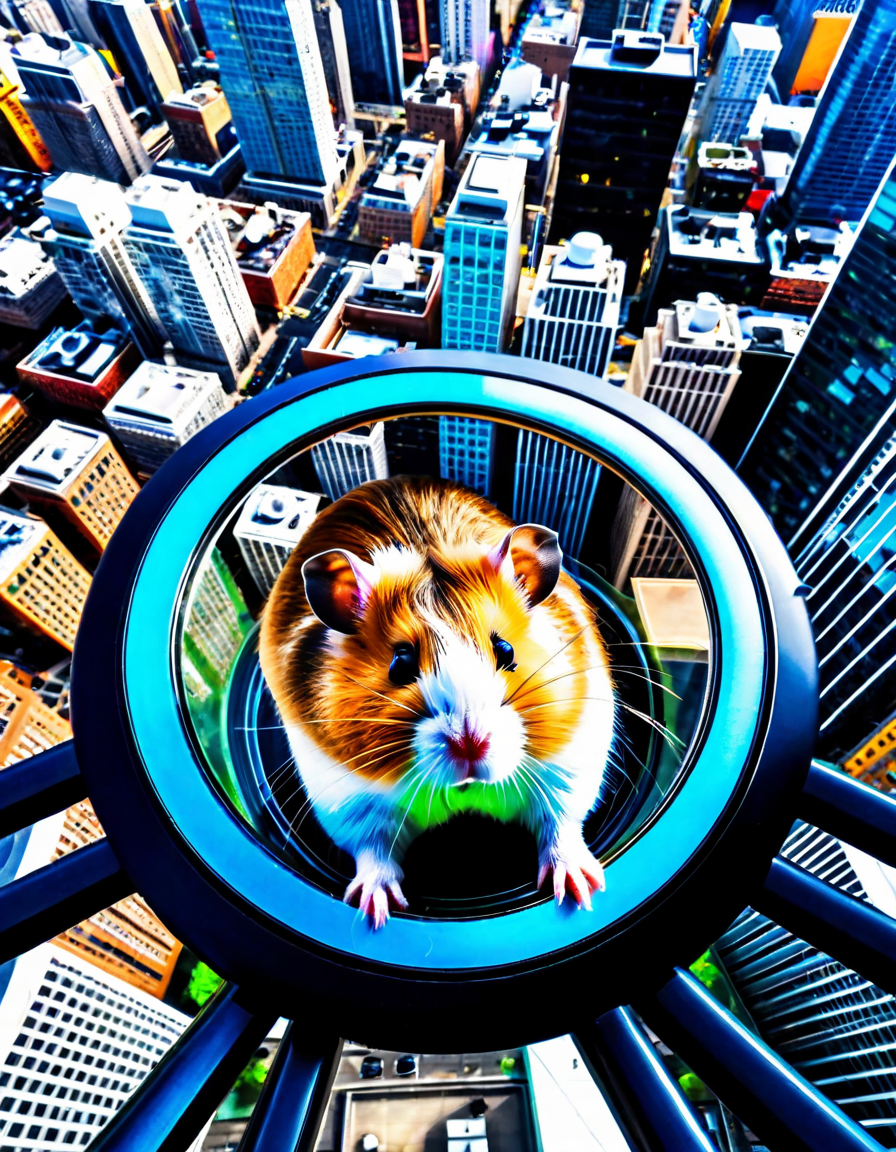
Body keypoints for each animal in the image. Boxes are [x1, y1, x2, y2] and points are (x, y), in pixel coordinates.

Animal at [259, 475, 614, 929]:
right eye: (400, 664)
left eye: (506, 650)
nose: (470, 744)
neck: (464, 789)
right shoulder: (347, 798)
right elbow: (373, 851)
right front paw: (377, 912)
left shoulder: (570, 765)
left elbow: (562, 823)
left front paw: (582, 893)